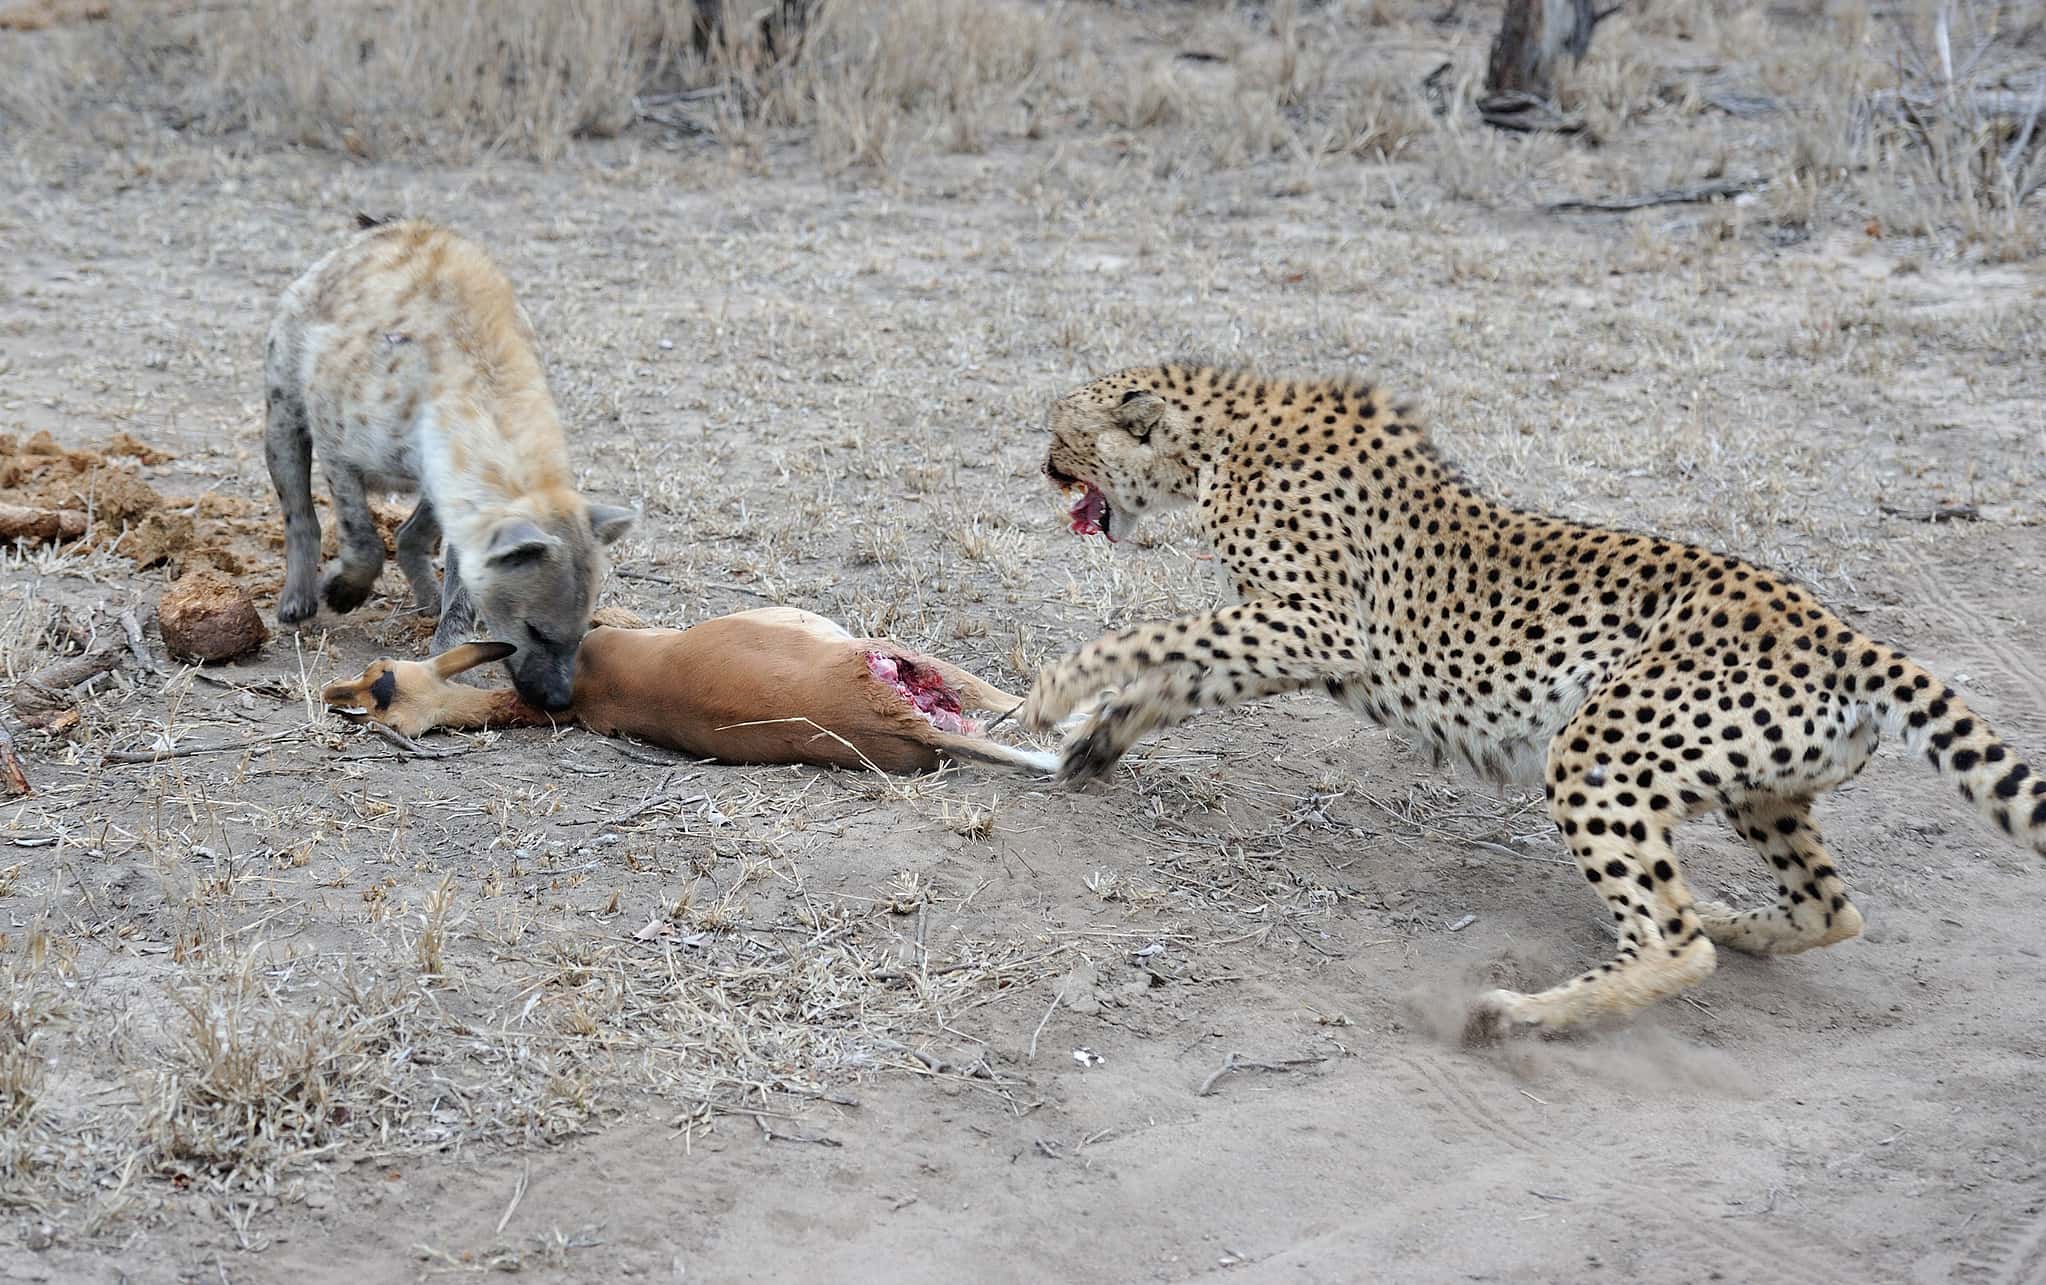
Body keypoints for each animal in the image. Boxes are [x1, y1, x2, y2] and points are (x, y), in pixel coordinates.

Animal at [1016, 361, 2046, 1036]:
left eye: (1062, 434)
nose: (1045, 469)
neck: (1222, 436)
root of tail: (1837, 627)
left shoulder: (1320, 625)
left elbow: (1153, 639)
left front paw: (1054, 691)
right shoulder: (1292, 636)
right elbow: (1184, 671)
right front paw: (1097, 740)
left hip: (1597, 753)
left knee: (1676, 942)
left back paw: (1521, 1015)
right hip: (1761, 787)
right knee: (1831, 907)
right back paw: (1732, 921)